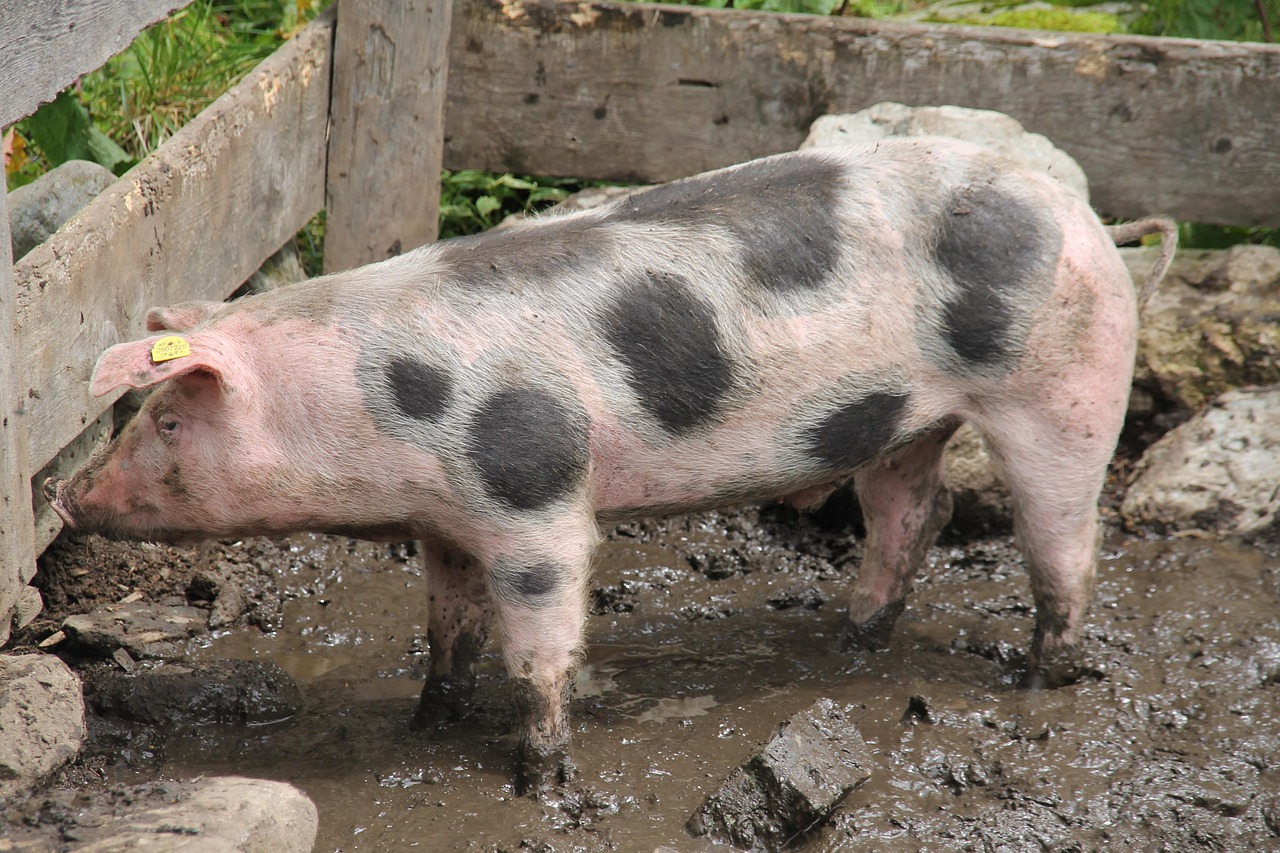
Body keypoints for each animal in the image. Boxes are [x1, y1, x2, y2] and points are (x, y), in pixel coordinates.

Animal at [44, 137, 1177, 793]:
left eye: (169, 423)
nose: (63, 490)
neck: (380, 402)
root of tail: (1083, 213)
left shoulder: (532, 490)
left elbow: (541, 639)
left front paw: (536, 777)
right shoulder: (444, 520)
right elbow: (446, 625)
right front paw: (425, 720)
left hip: (1063, 387)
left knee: (1064, 539)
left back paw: (1039, 677)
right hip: (904, 423)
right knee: (912, 511)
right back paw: (851, 639)